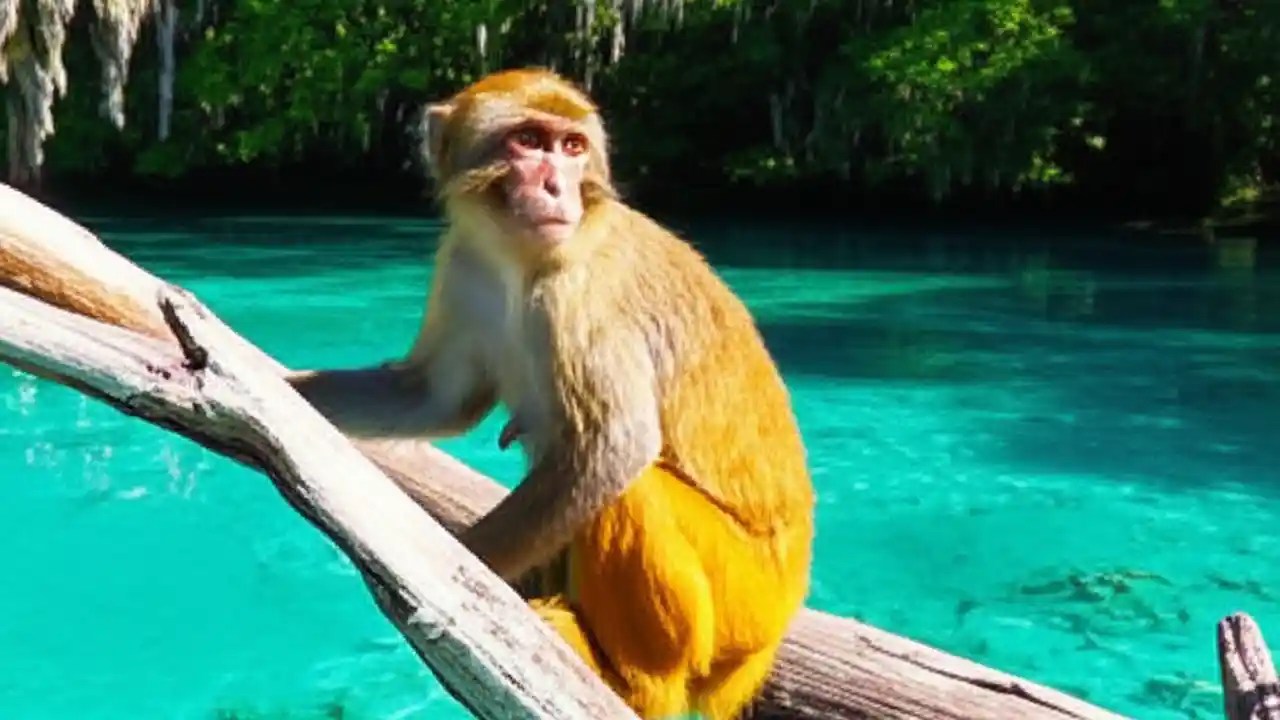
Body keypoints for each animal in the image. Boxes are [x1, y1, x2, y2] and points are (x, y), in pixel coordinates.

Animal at [287, 68, 815, 720]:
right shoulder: (463, 266)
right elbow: (434, 398)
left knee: (630, 488)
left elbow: (616, 446)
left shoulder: (583, 291)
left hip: (746, 599)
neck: (518, 260)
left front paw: (459, 579)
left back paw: (638, 686)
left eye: (571, 147)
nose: (555, 184)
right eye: (529, 140)